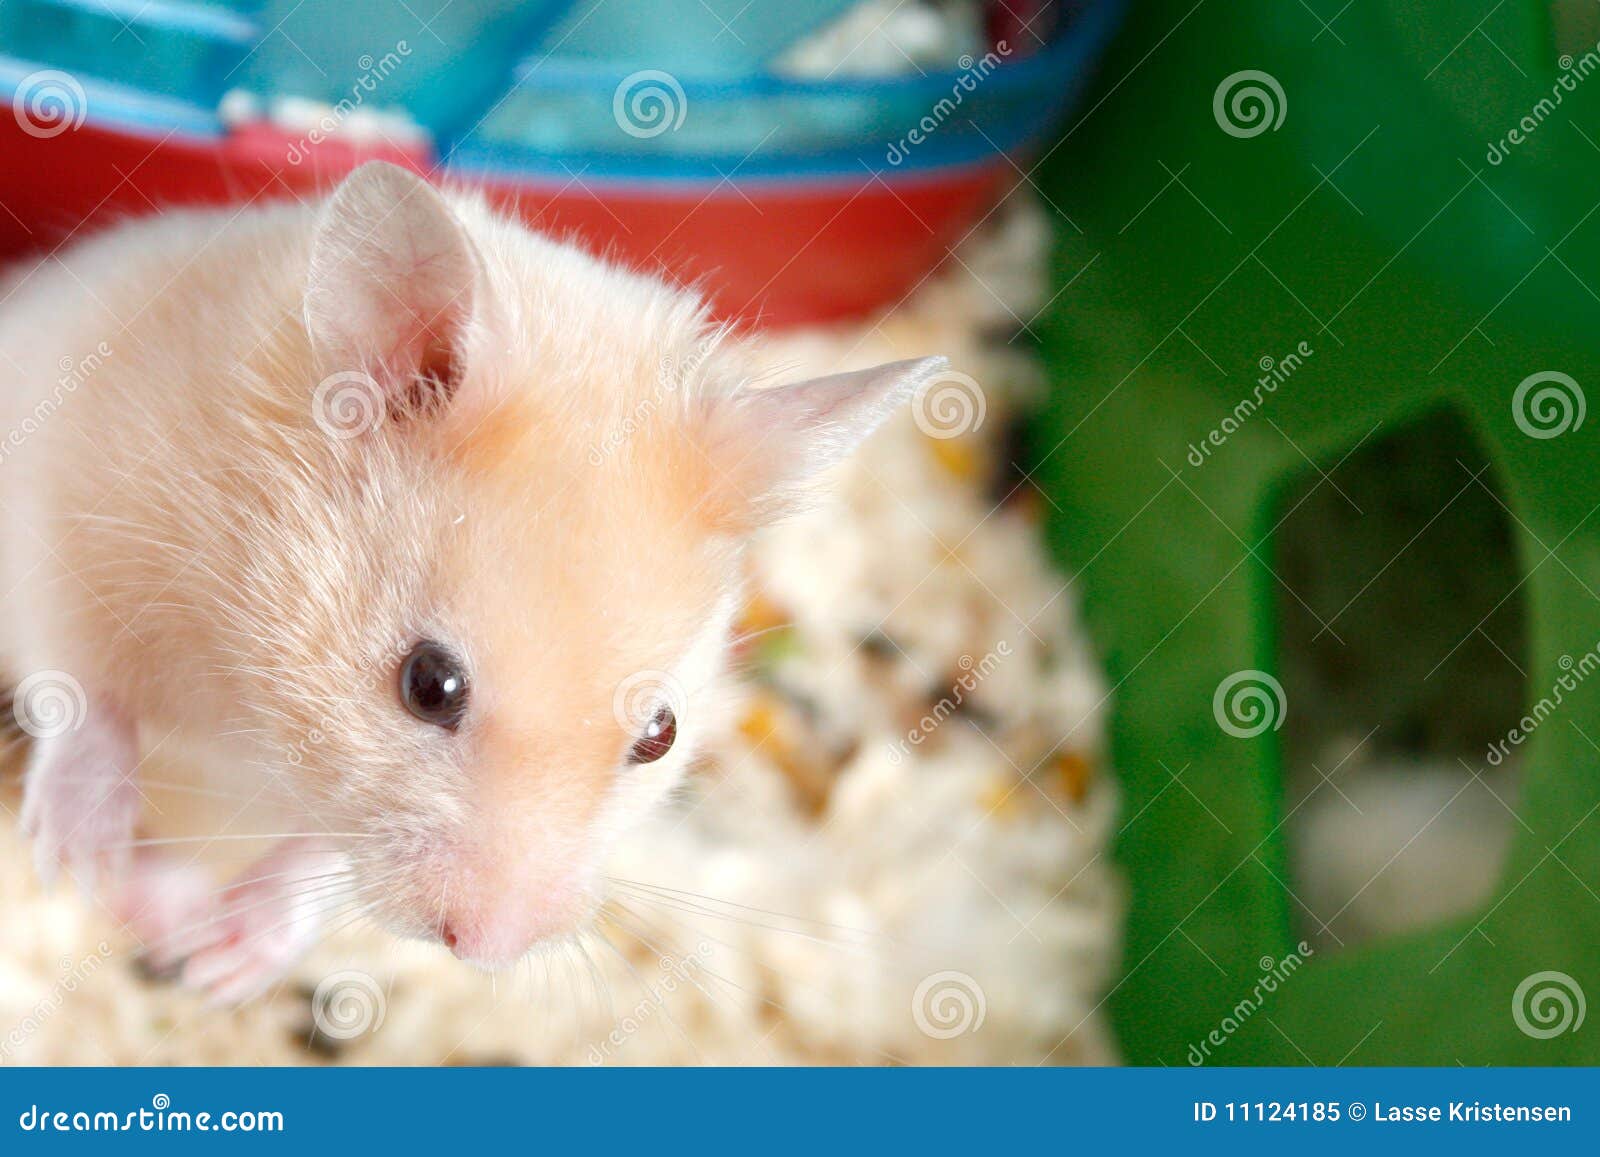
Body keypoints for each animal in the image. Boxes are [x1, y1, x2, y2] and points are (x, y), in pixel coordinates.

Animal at [0, 161, 946, 1001]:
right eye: (429, 683)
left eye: (661, 733)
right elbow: (79, 679)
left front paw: (232, 960)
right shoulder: (53, 498)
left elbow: (316, 849)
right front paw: (75, 853)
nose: (490, 952)